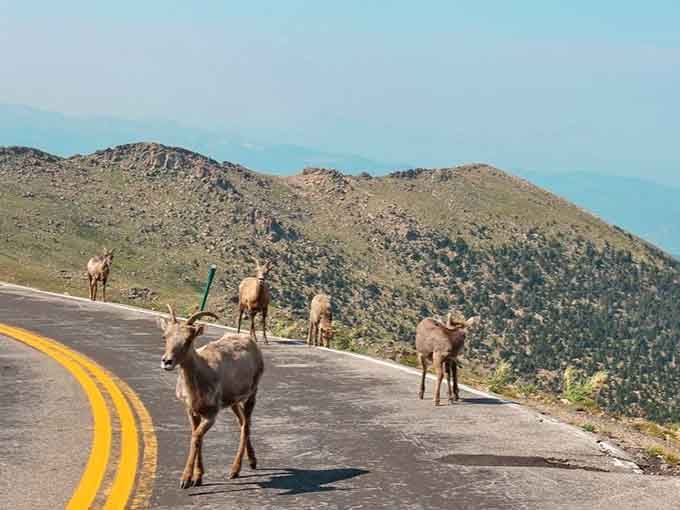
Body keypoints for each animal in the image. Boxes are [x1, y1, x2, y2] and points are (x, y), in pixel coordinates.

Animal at [158, 305, 264, 488]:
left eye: (188, 340)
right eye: (166, 336)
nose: (167, 362)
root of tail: (251, 343)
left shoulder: (211, 415)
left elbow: (196, 437)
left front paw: (186, 480)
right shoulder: (192, 412)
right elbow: (197, 436)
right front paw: (197, 478)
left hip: (252, 394)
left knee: (246, 426)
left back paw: (235, 471)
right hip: (233, 402)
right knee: (243, 421)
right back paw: (252, 461)